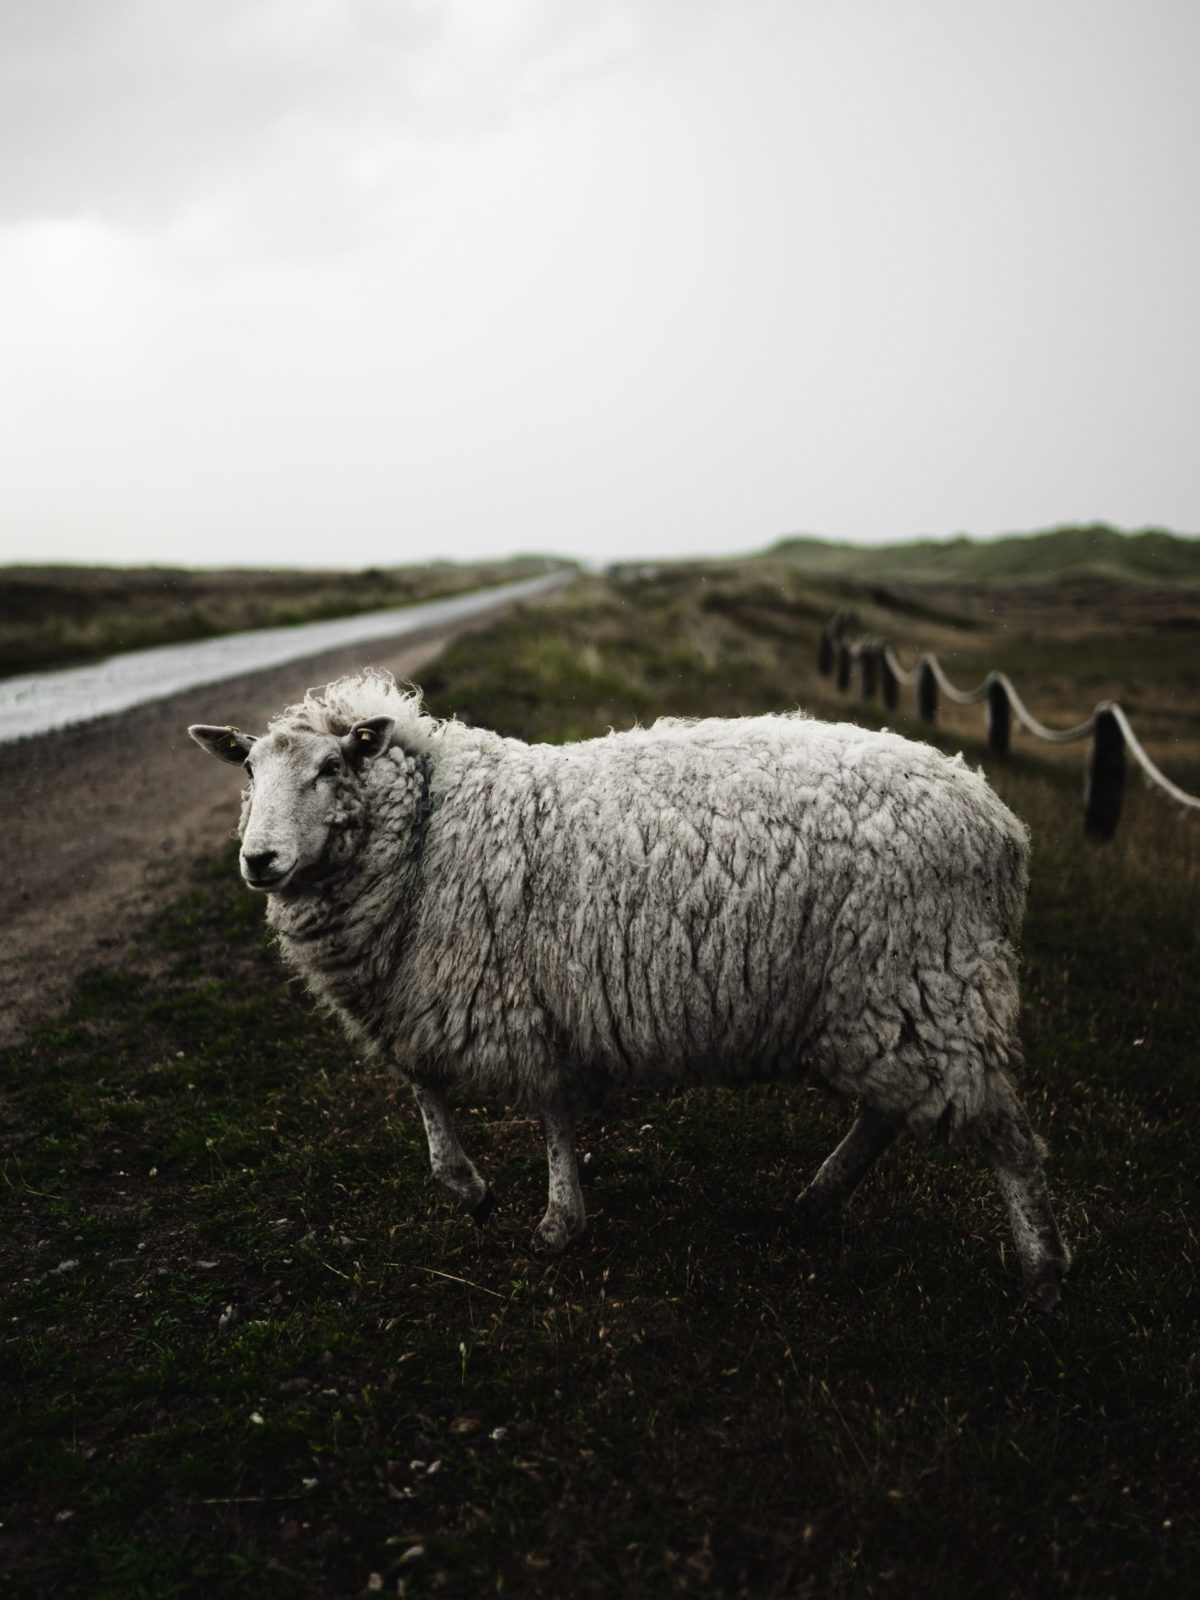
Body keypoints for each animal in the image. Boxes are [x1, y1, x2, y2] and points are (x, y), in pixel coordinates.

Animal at [188, 669, 1071, 1309]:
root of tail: (999, 822)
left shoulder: (507, 992)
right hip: (892, 997)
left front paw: (554, 1223)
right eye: (249, 769)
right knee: (890, 1111)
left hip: (929, 980)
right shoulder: (429, 989)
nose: (258, 861)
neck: (427, 835)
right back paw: (817, 1200)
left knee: (1007, 1136)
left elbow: (545, 1109)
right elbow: (423, 1083)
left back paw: (1042, 1271)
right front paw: (470, 1188)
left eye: (333, 765)